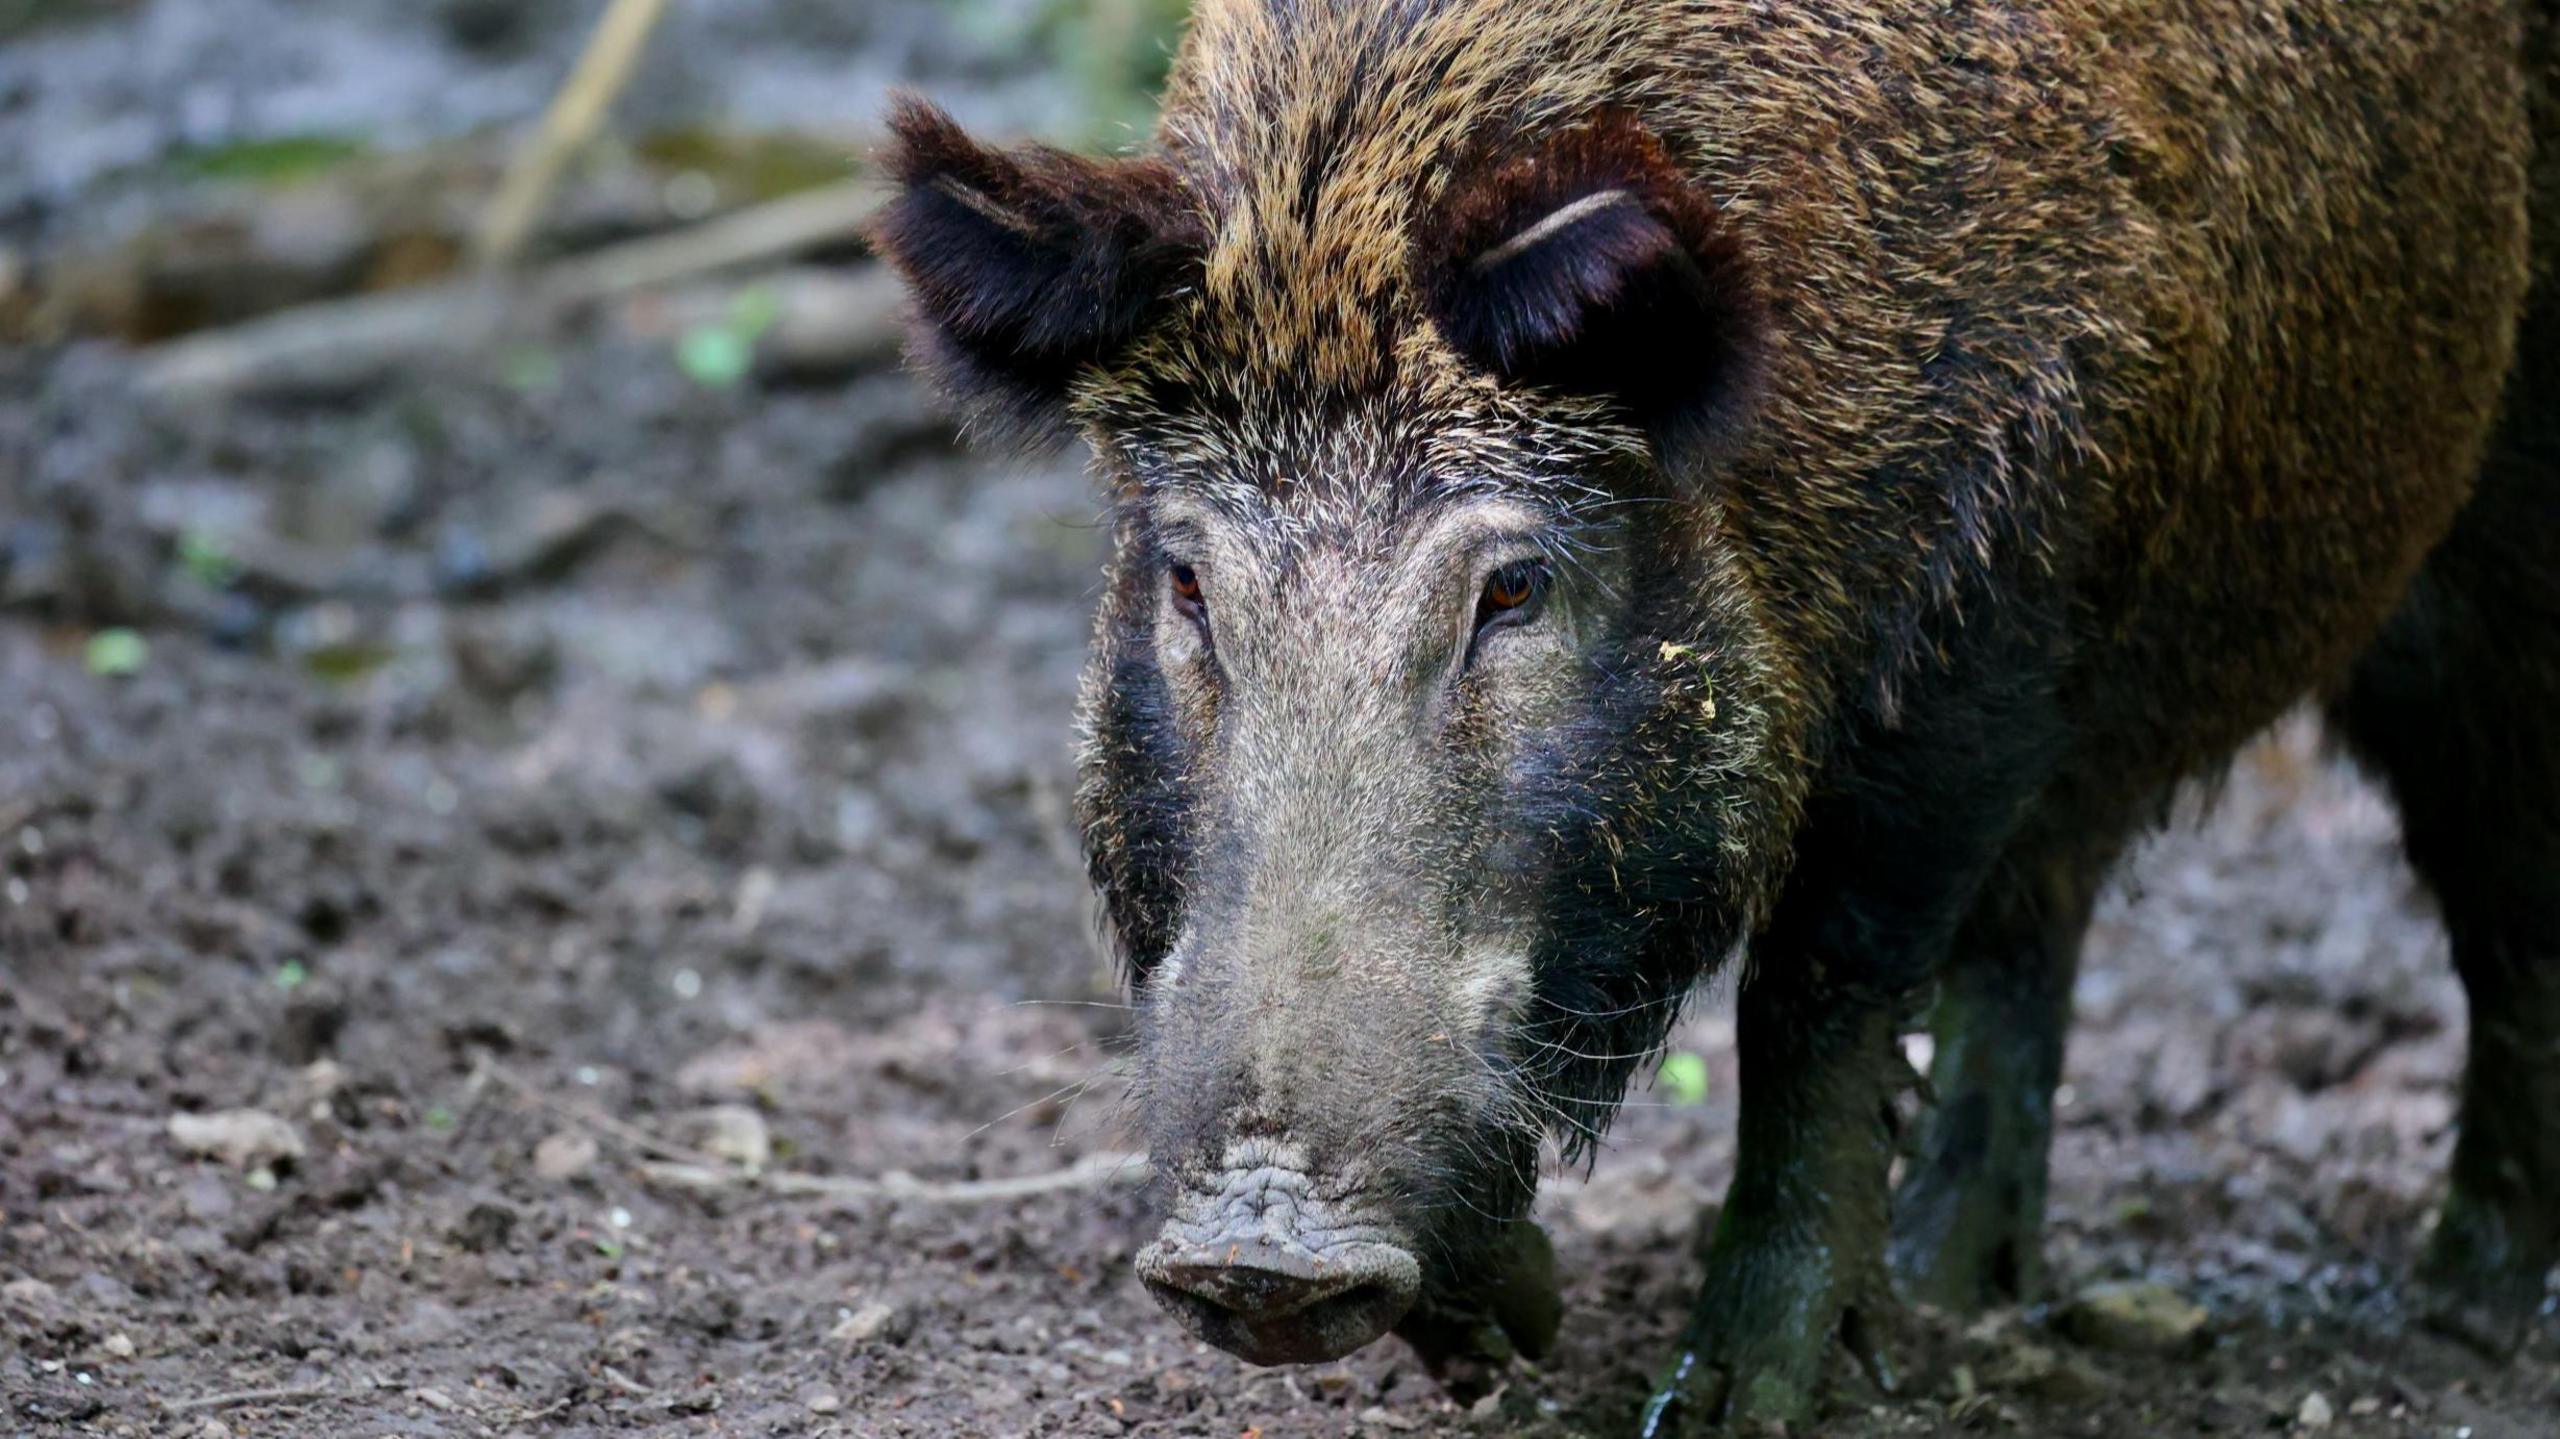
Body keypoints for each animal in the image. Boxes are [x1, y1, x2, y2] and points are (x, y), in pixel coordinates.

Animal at [868, 0, 2560, 1427]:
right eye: (1185, 578)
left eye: (1512, 588)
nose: (1260, 1243)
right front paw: (1526, 1332)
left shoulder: (1989, 627)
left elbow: (1820, 995)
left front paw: (1733, 1400)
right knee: (2050, 911)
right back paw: (1959, 1284)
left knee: (2496, 894)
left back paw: (2472, 1306)